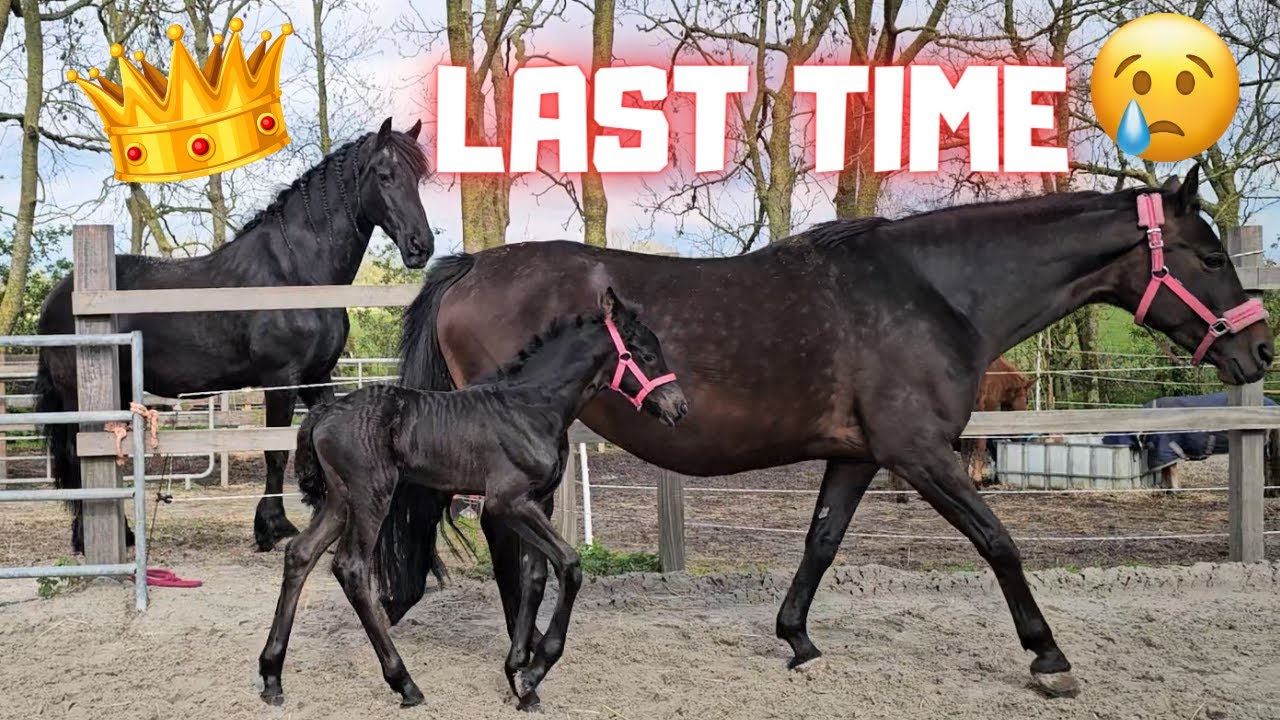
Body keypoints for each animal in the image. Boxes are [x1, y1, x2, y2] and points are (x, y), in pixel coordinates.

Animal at [35, 117, 434, 553]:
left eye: (418, 178)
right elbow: (275, 451)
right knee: (79, 457)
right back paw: (95, 538)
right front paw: (272, 528)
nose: (421, 246)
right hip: (79, 395)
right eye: (384, 175)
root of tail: (59, 294)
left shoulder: (317, 378)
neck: (296, 273)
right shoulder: (281, 380)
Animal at [257, 288, 687, 709]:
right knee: (351, 568)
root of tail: (323, 412)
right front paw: (533, 671)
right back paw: (405, 684)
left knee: (300, 554)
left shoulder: (539, 503)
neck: (533, 406)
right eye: (645, 354)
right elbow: (568, 564)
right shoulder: (508, 502)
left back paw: (272, 677)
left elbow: (533, 577)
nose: (678, 406)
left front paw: (519, 675)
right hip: (370, 495)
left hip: (339, 500)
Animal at [386, 165, 1271, 700]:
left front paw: (798, 639)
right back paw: (525, 663)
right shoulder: (922, 454)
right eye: (1210, 254)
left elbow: (821, 540)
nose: (1259, 348)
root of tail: (471, 266)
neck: (934, 292)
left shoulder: (859, 457)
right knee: (512, 546)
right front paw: (1048, 656)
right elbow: (999, 542)